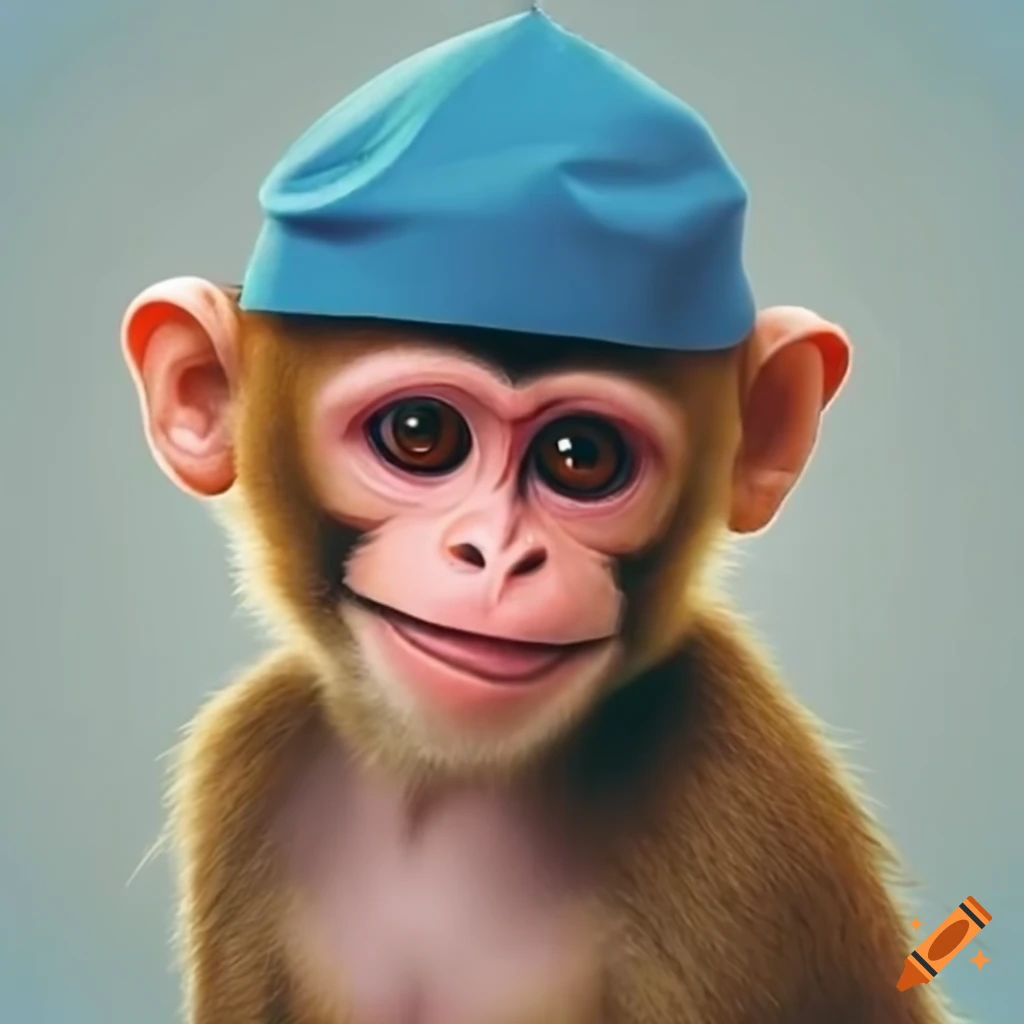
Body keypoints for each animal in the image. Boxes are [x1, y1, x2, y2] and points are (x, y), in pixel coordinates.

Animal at [121, 276, 962, 1024]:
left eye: (580, 454)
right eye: (420, 433)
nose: (498, 556)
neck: (444, 784)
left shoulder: (742, 819)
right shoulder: (248, 759)